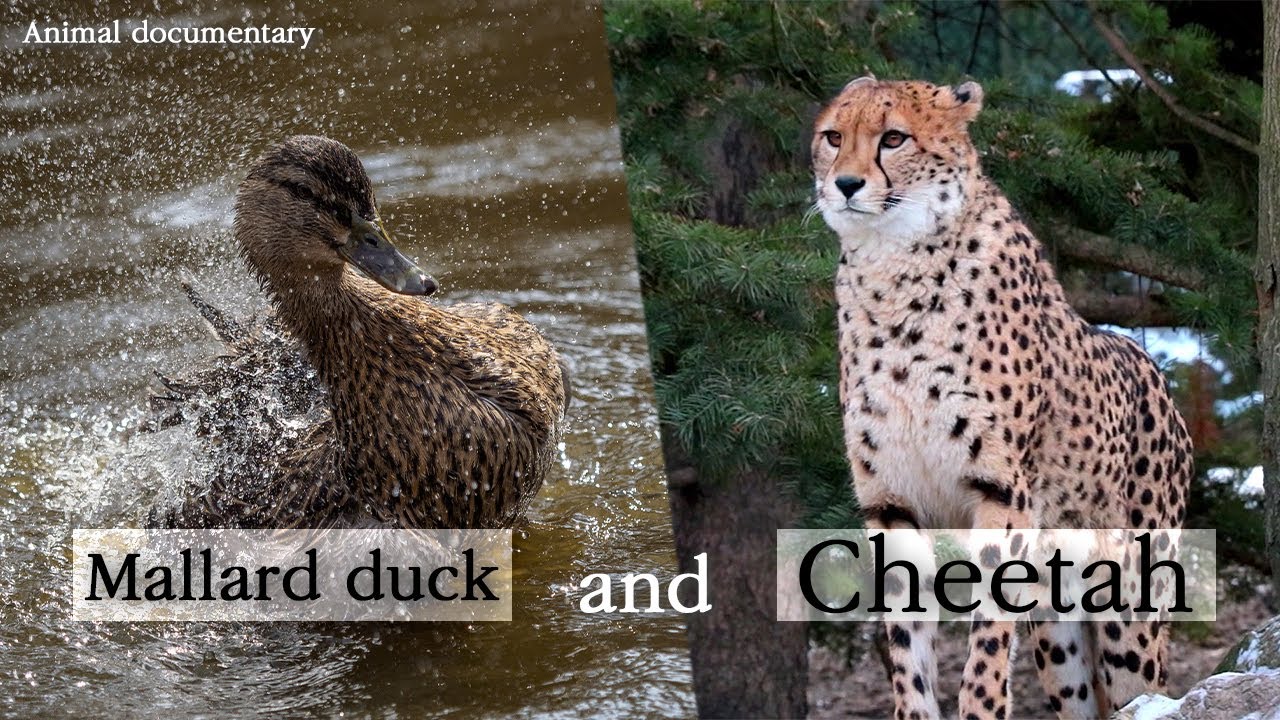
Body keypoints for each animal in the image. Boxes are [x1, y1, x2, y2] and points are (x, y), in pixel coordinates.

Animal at [811, 76, 1193, 719]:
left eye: (894, 139)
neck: (892, 270)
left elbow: (987, 633)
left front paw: (981, 705)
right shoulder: (891, 501)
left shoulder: (1002, 491)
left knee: (1142, 688)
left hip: (1128, 606)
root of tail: (1152, 366)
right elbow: (906, 648)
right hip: (1059, 625)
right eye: (834, 137)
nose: (845, 184)